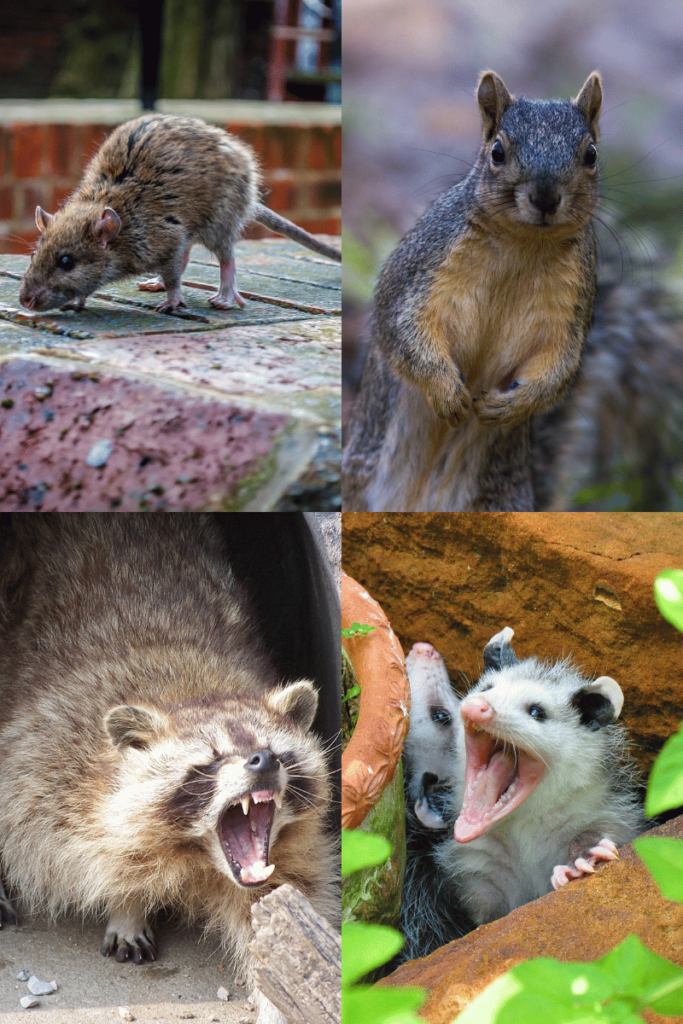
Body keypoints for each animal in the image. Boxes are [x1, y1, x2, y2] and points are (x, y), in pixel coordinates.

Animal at [0, 514, 339, 1024]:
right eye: (211, 761)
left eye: (273, 750)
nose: (263, 762)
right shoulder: (47, 758)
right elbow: (67, 843)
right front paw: (126, 902)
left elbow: (281, 917)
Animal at [342, 70, 604, 511]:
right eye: (497, 151)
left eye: (591, 154)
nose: (546, 197)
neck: (524, 245)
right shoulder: (421, 270)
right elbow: (401, 329)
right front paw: (447, 391)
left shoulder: (570, 308)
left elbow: (559, 368)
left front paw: (510, 406)